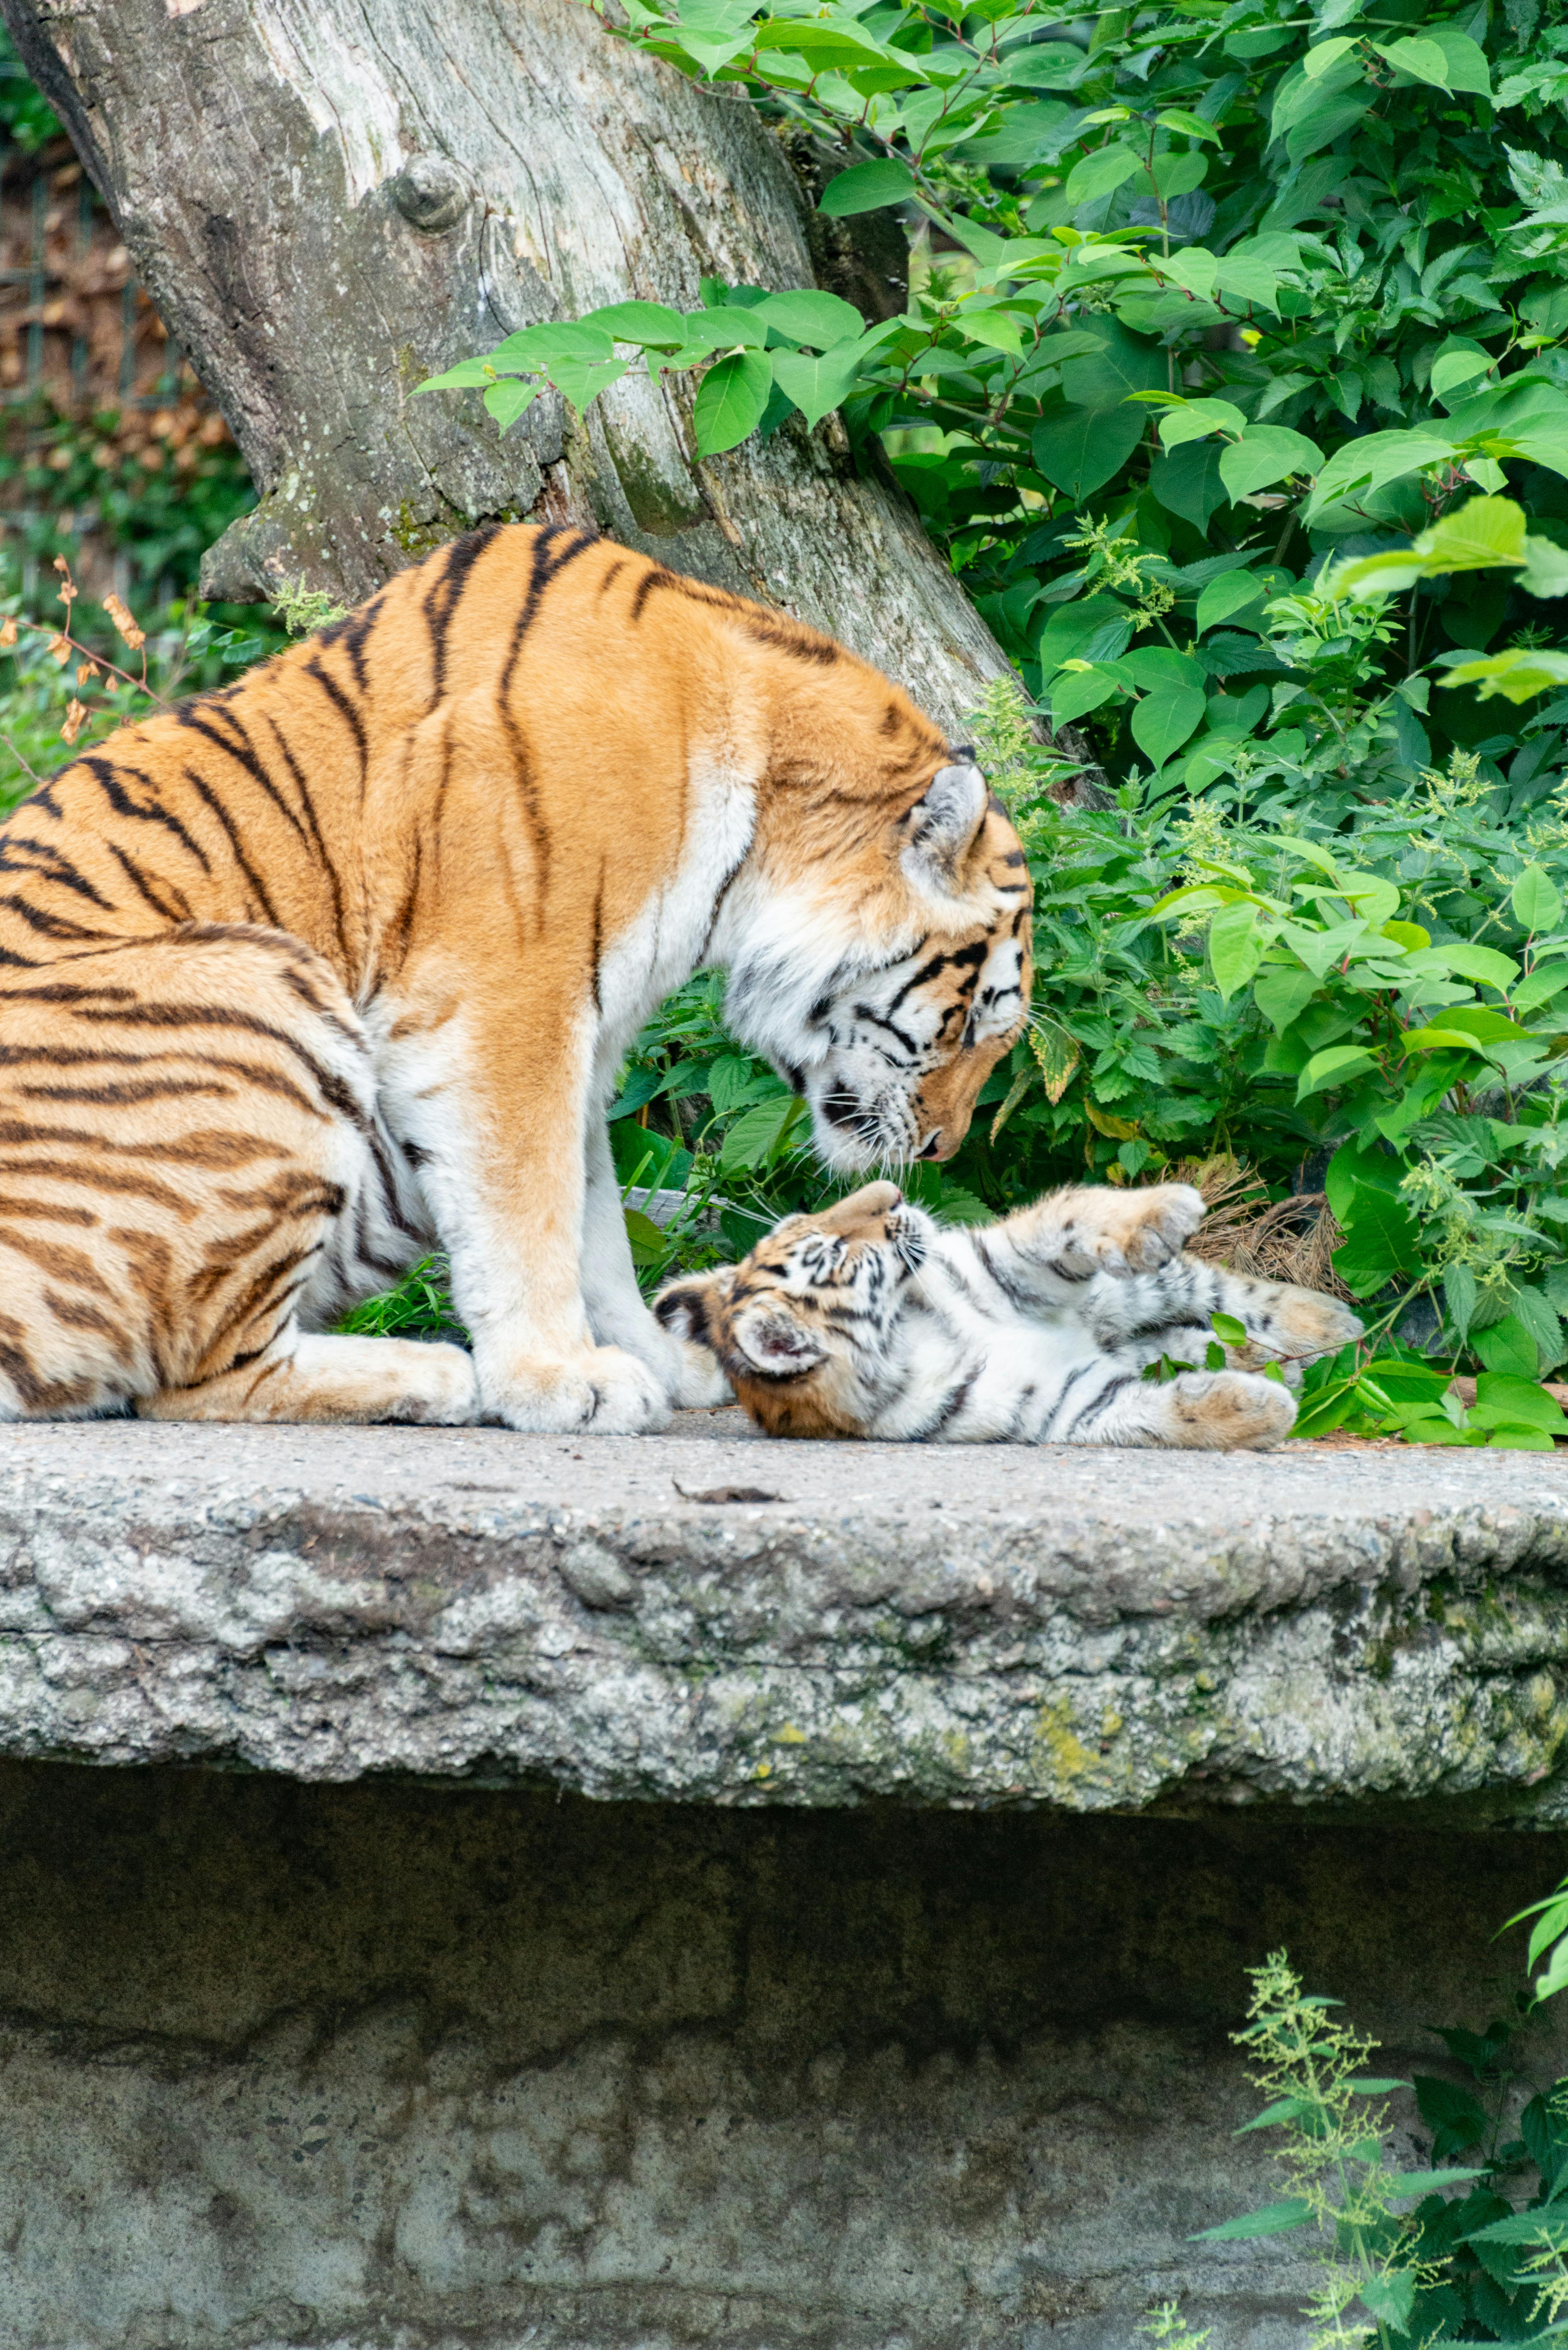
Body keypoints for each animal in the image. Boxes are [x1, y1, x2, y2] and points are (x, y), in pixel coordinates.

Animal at [0, 521, 1032, 1431]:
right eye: (974, 1021)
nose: (941, 1148)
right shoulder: (505, 1009)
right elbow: (528, 1210)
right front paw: (559, 1380)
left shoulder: (584, 1037)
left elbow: (594, 1225)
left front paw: (656, 1364)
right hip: (262, 987)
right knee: (193, 1368)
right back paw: (430, 1373)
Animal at [653, 1178, 1363, 1447]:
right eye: (830, 1251)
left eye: (806, 1221)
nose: (893, 1193)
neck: (909, 1326)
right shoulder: (1062, 1401)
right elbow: (1155, 1413)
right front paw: (1258, 1407)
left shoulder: (1001, 1262)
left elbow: (1075, 1215)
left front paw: (1163, 1209)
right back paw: (1284, 1367)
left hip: (1126, 1293)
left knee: (1223, 1291)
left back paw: (1331, 1324)